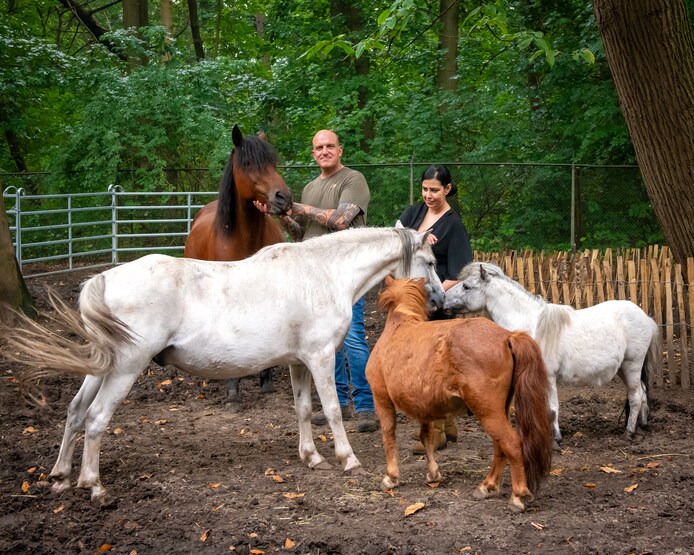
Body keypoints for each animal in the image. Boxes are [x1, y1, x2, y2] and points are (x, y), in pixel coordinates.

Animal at [4, 227, 445, 504]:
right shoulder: (320, 357)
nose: (440, 301)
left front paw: (311, 457)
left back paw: (61, 478)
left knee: (76, 412)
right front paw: (347, 459)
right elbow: (334, 410)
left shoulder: (299, 363)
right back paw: (93, 485)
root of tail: (105, 279)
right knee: (95, 418)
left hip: (103, 368)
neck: (322, 273)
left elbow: (304, 409)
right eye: (429, 261)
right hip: (125, 369)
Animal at [366, 277, 553, 512]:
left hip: (487, 411)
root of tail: (507, 336)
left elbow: (388, 435)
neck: (399, 325)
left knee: (511, 443)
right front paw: (433, 474)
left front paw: (391, 477)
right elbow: (427, 437)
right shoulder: (424, 408)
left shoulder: (381, 398)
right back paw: (487, 486)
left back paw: (518, 495)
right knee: (500, 446)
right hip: (498, 411)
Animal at [444, 262, 661, 448]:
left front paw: (555, 439)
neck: (530, 325)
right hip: (623, 369)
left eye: (466, 286)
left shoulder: (548, 377)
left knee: (635, 396)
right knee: (642, 394)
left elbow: (551, 408)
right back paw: (642, 426)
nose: (443, 300)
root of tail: (645, 317)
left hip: (632, 365)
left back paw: (629, 432)